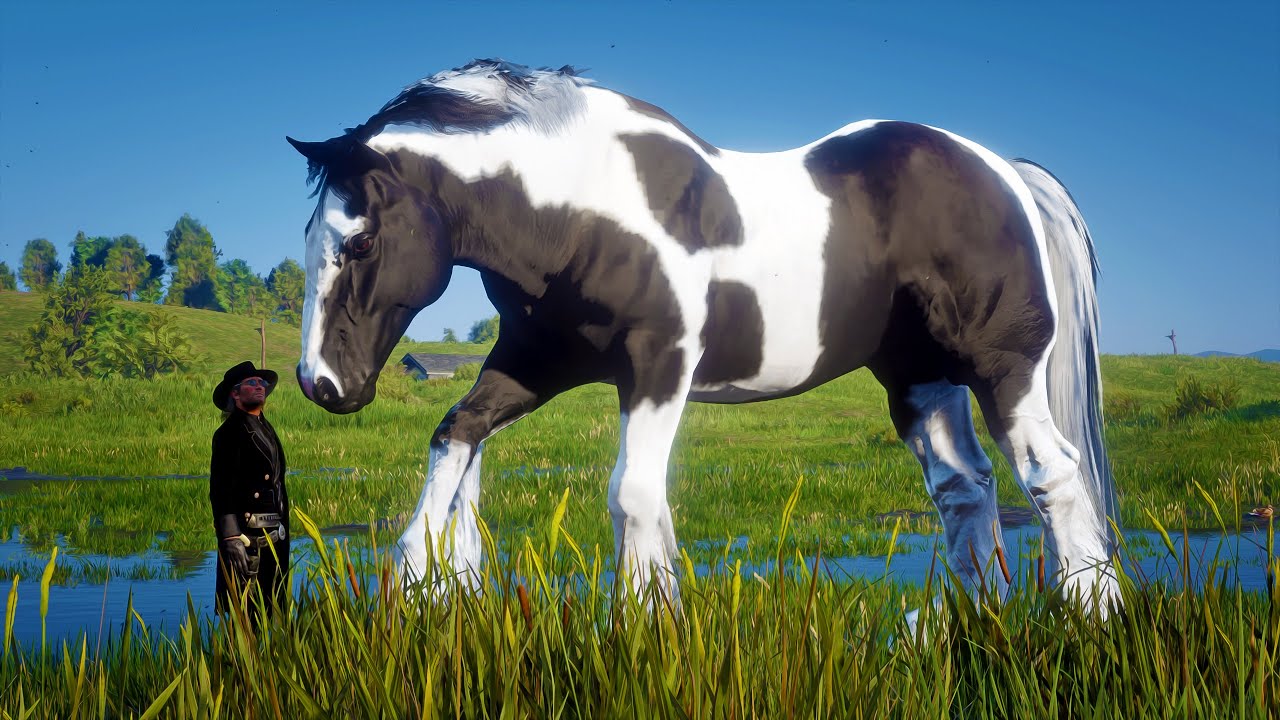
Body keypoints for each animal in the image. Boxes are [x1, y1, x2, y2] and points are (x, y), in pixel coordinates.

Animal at [288, 59, 1120, 613]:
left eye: (360, 241)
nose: (321, 385)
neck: (582, 210)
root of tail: (1003, 172)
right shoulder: (535, 362)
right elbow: (455, 435)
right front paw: (421, 578)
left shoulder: (659, 364)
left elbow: (632, 495)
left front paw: (640, 630)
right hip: (920, 379)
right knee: (963, 489)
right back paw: (964, 629)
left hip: (1001, 366)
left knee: (1052, 472)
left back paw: (1090, 618)